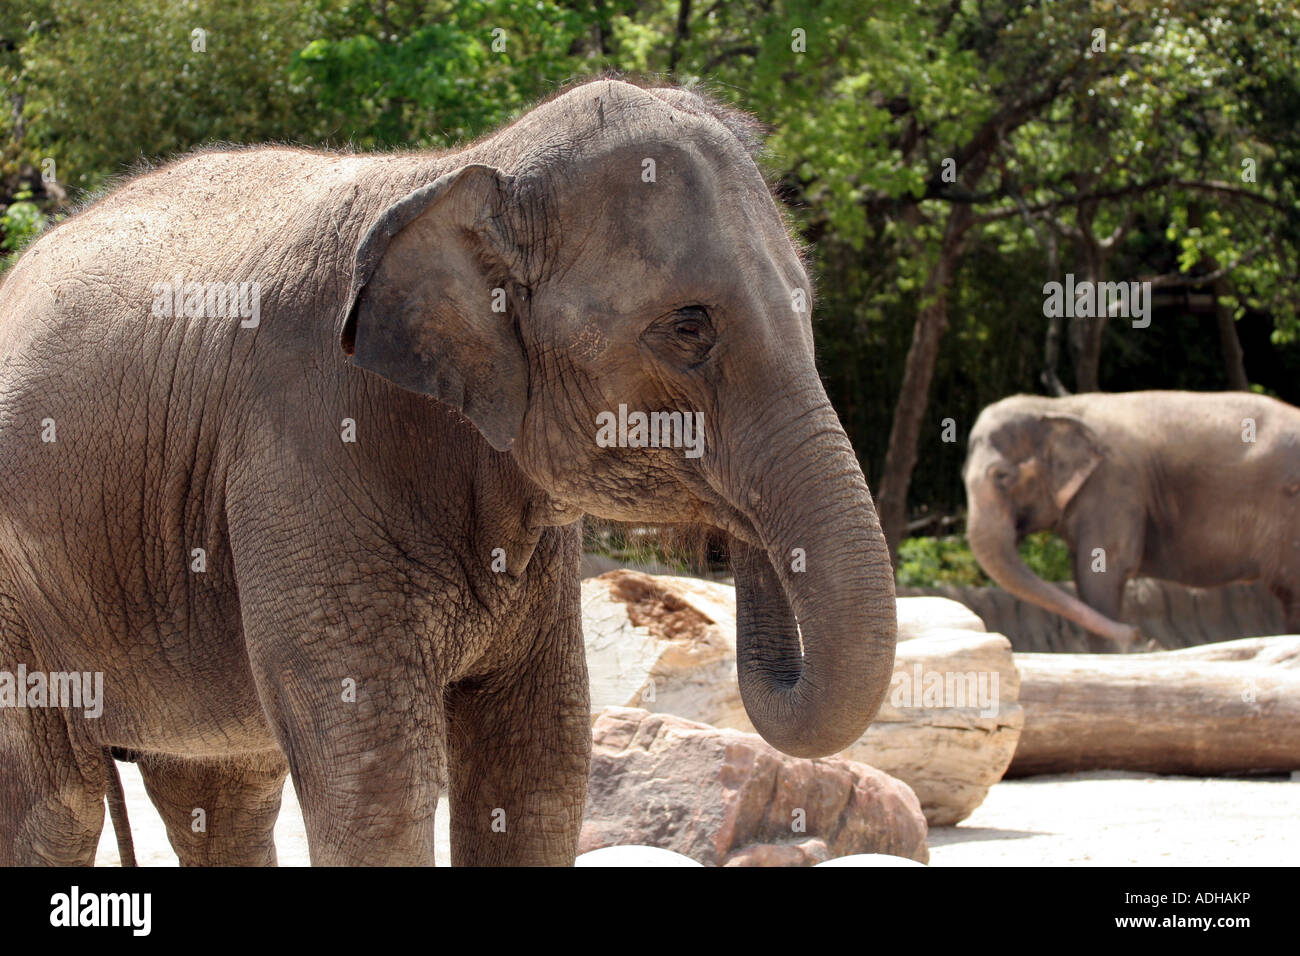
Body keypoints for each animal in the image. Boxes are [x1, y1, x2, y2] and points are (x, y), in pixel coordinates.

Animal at [0, 79, 897, 866]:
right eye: (688, 328)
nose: (733, 535)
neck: (466, 167)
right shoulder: (302, 450)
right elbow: (377, 784)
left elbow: (538, 765)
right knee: (54, 808)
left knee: (220, 799)